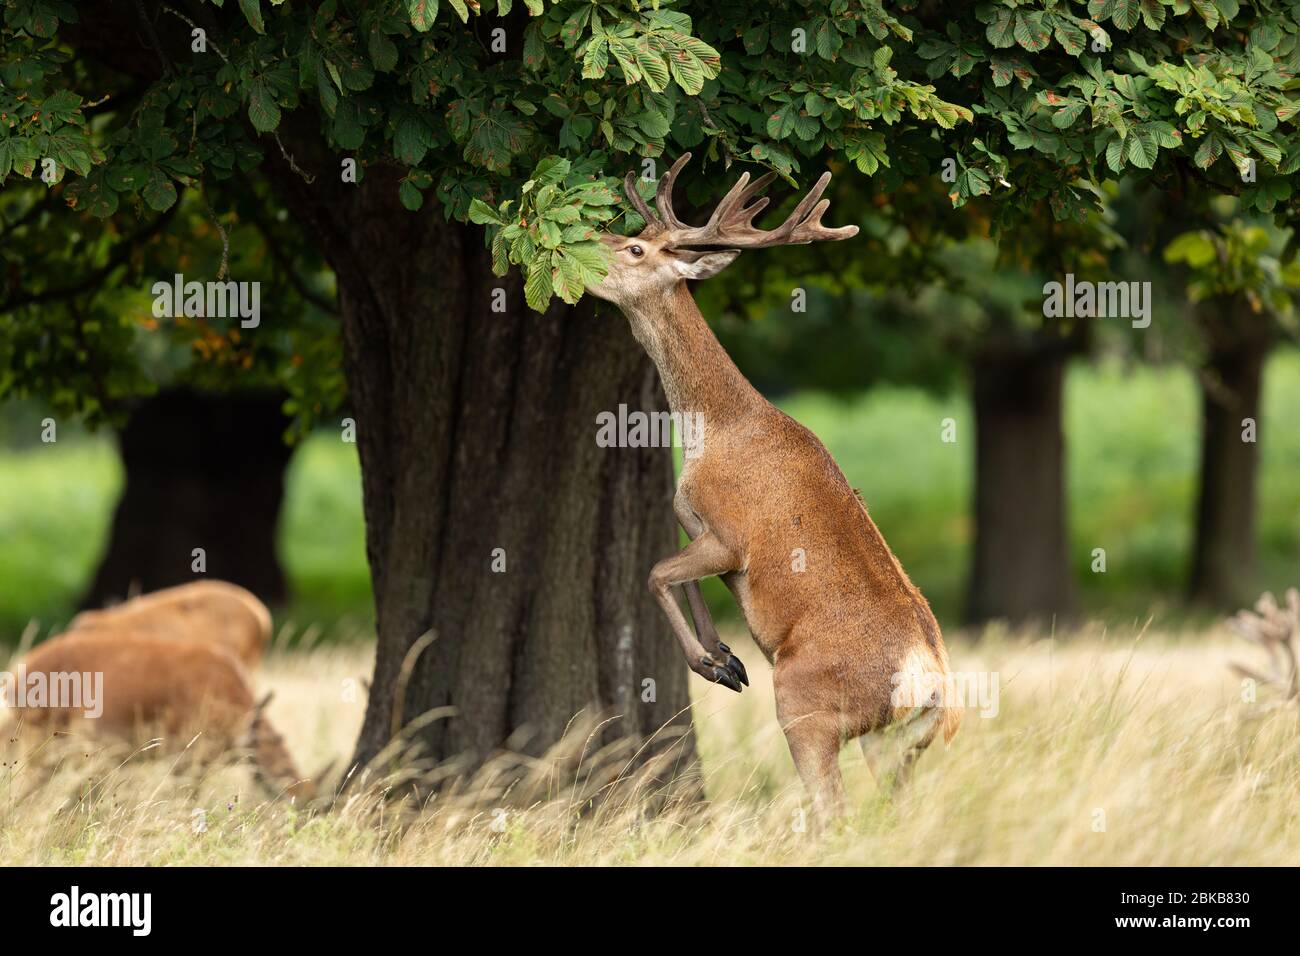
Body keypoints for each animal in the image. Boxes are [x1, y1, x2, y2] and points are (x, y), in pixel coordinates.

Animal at [584, 154, 961, 815]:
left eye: (633, 247)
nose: (579, 243)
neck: (713, 429)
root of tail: (931, 687)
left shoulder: (730, 534)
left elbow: (655, 572)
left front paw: (711, 664)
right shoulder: (691, 519)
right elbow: (678, 576)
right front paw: (726, 655)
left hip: (805, 706)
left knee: (831, 812)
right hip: (893, 745)